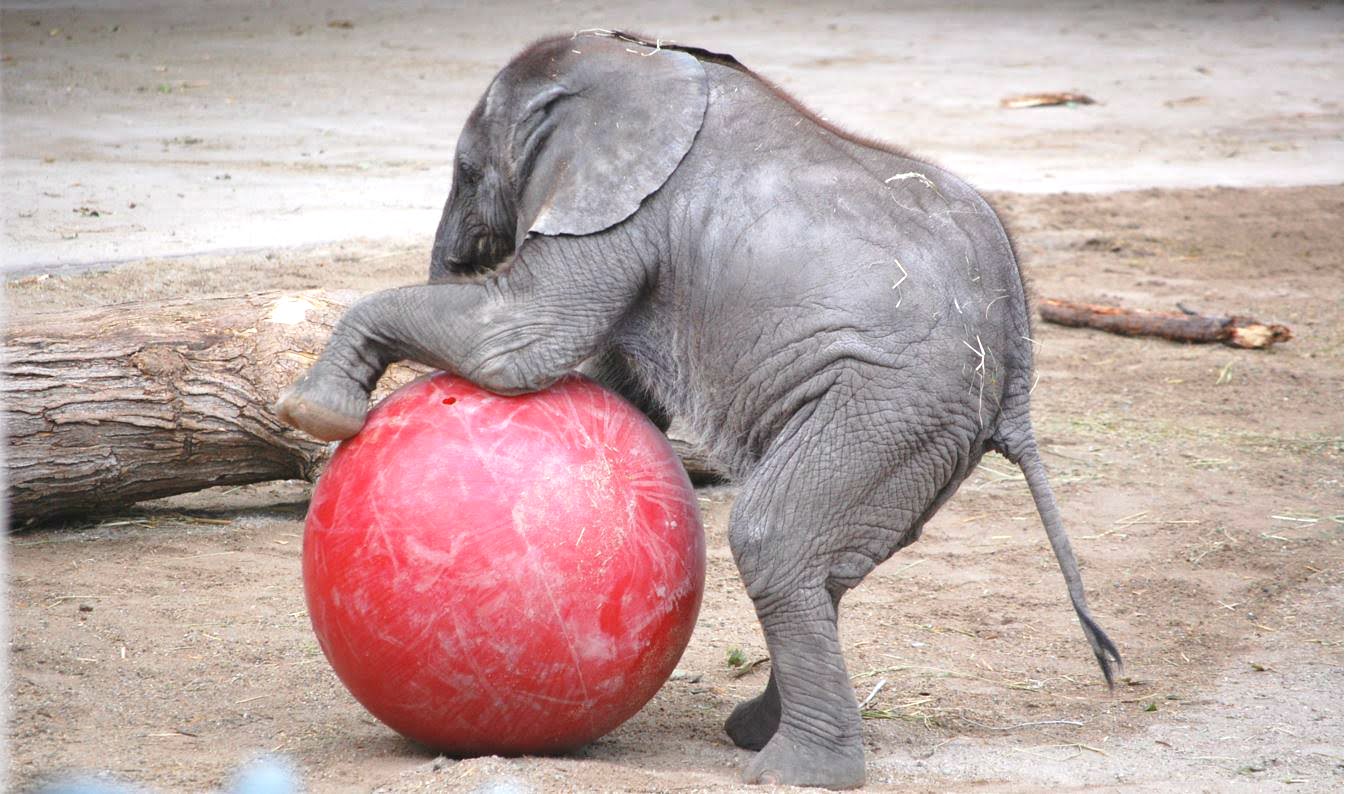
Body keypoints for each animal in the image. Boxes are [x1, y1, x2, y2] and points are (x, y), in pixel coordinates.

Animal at [276, 30, 1121, 789]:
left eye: (465, 169)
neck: (635, 60)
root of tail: (1016, 363)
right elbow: (605, 377)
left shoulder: (621, 216)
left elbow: (516, 341)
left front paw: (312, 412)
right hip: (921, 430)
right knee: (824, 564)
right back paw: (754, 733)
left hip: (890, 403)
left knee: (775, 537)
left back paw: (790, 771)